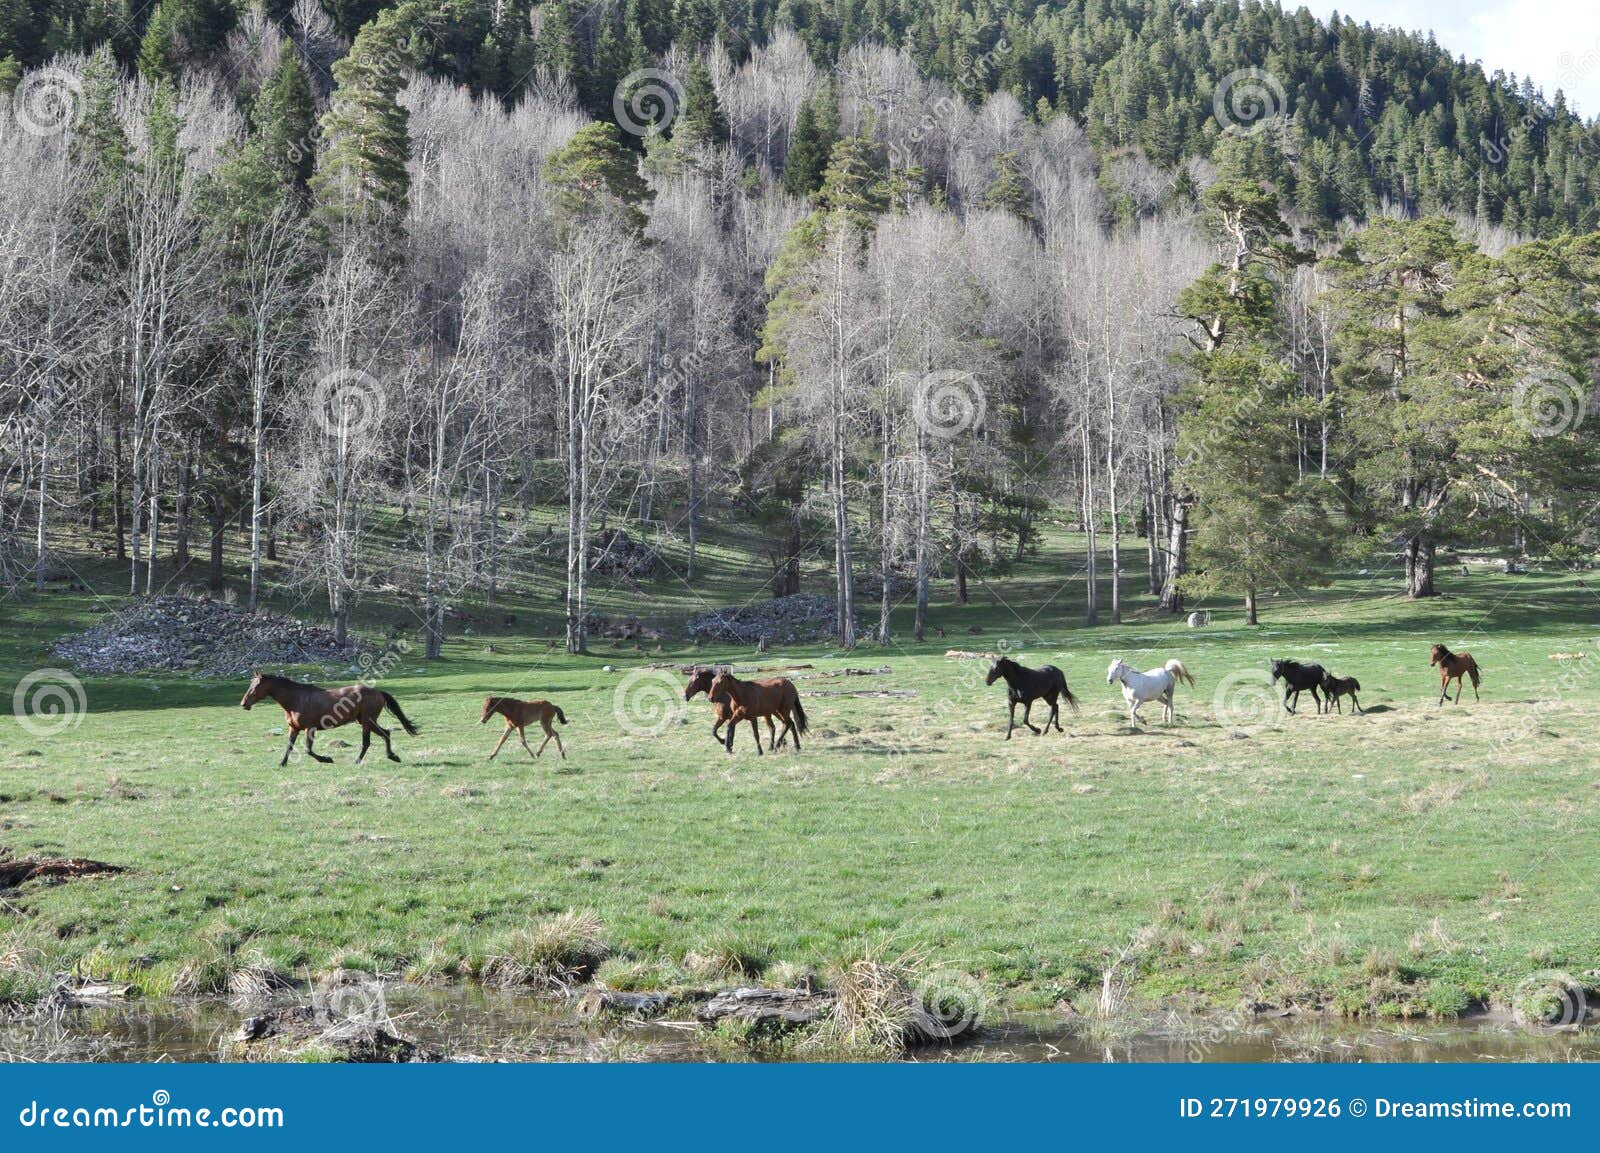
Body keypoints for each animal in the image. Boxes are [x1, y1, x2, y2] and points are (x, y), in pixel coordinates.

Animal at [241, 672, 419, 766]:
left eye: (256, 686)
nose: (244, 704)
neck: (296, 699)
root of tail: (378, 692)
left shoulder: (310, 728)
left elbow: (308, 750)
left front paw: (326, 759)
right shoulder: (294, 728)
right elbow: (289, 746)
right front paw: (282, 763)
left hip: (367, 722)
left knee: (368, 742)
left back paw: (358, 761)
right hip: (366, 721)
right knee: (386, 733)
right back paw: (392, 756)